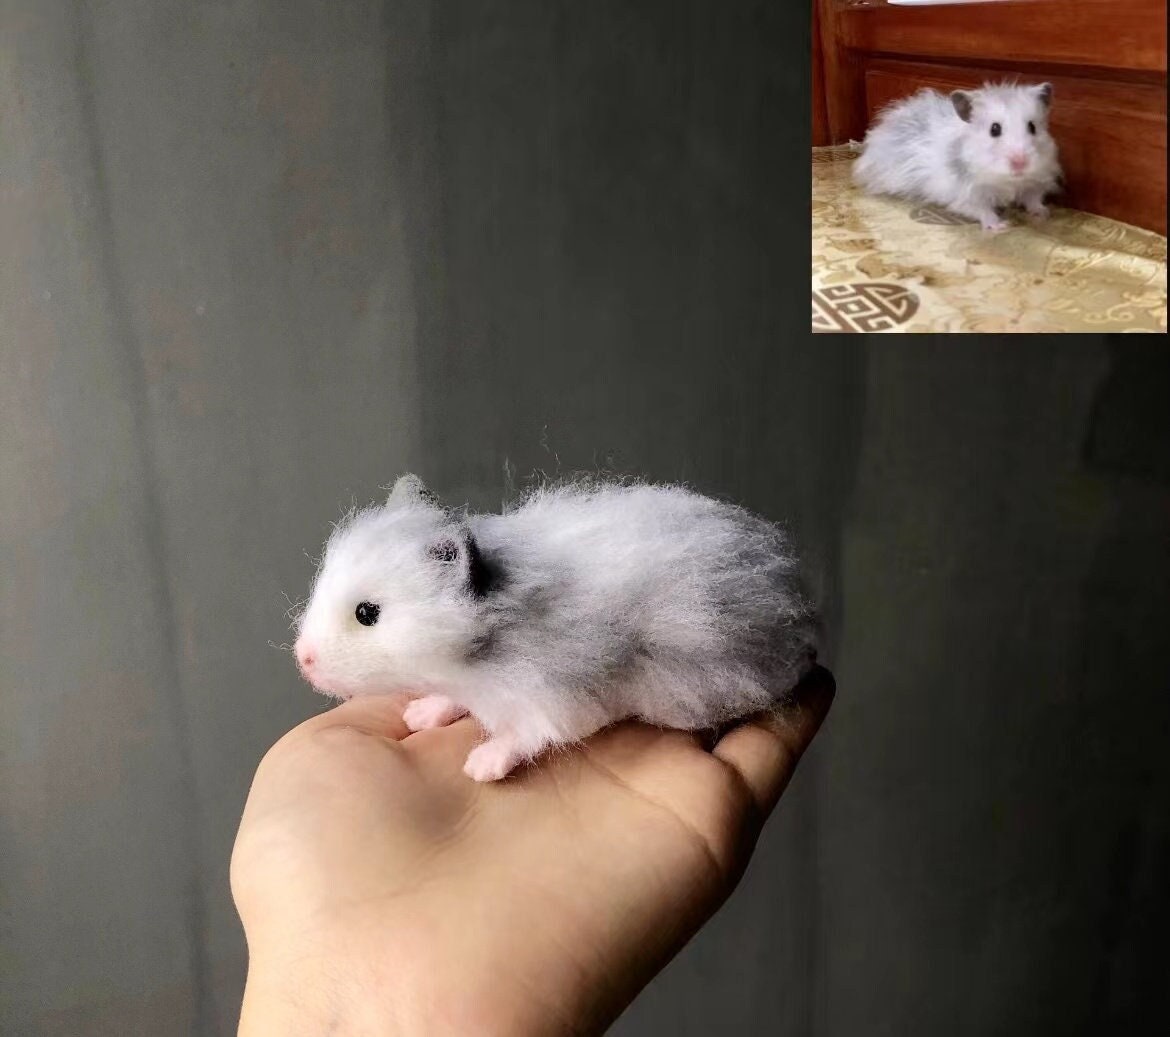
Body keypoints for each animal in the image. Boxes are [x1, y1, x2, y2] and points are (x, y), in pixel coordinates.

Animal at [293, 475, 821, 781]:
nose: (303, 659)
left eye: (367, 614)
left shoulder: (554, 701)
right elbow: (452, 701)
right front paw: (420, 715)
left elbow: (524, 737)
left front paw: (480, 767)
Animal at [852, 82, 1061, 231]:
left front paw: (1043, 213)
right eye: (994, 129)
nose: (1020, 163)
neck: (1009, 180)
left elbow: (1033, 199)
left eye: (1032, 127)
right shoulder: (967, 196)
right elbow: (983, 210)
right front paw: (1000, 226)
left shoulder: (1035, 182)